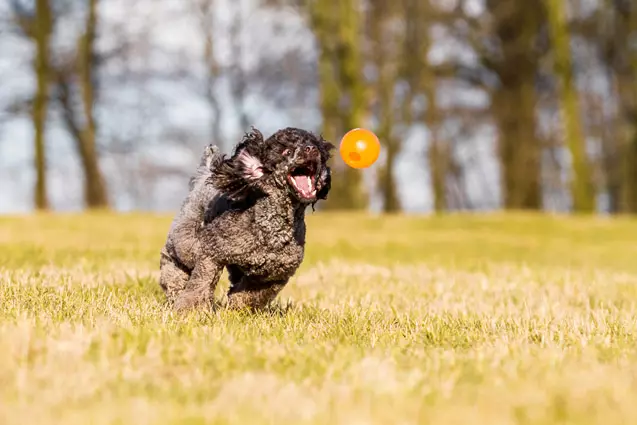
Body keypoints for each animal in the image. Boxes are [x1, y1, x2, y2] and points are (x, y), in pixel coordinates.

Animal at [159, 126, 332, 312]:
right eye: (286, 151)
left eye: (315, 146)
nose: (311, 149)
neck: (272, 228)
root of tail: (203, 176)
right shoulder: (211, 252)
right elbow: (201, 283)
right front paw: (191, 310)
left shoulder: (273, 273)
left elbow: (248, 296)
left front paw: (238, 309)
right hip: (187, 239)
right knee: (174, 259)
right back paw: (174, 286)